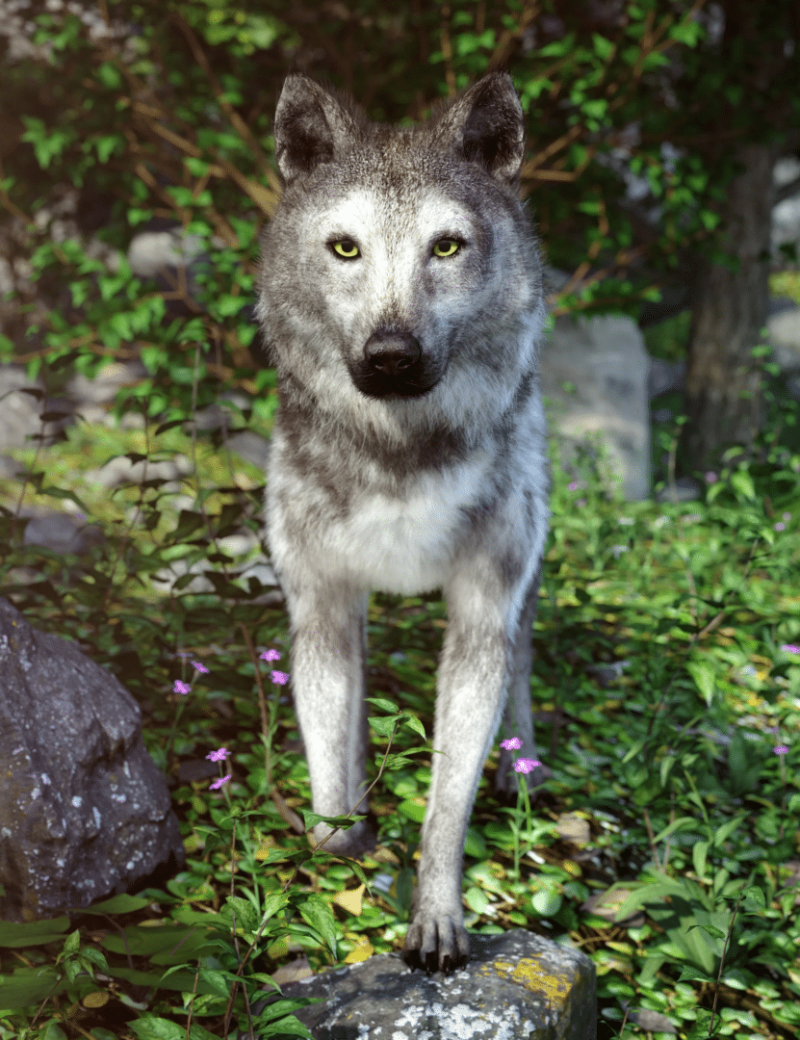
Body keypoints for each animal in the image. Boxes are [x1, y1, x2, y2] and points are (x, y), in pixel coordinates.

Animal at [255, 69, 550, 975]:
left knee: (524, 658)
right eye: (345, 248)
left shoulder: (480, 614)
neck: (399, 453)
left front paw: (436, 918)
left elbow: (447, 806)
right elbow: (329, 787)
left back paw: (522, 766)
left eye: (446, 248)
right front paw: (344, 845)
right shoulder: (321, 609)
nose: (390, 357)